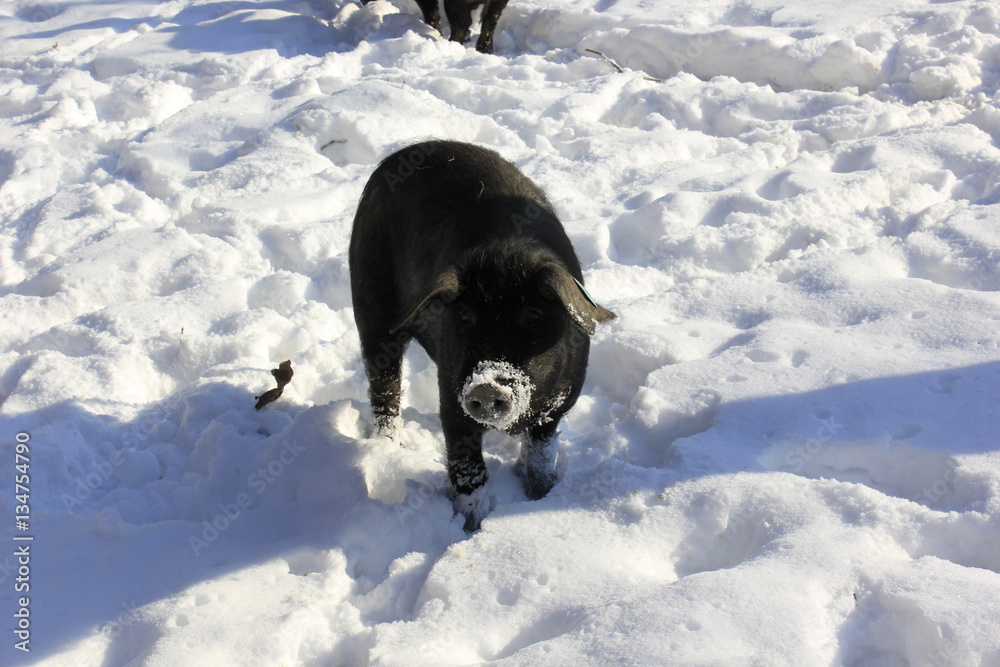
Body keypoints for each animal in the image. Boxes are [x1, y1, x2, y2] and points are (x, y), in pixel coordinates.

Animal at [349, 140, 615, 530]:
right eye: (465, 316)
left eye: (531, 315)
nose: (487, 386)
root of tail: (399, 155)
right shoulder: (451, 397)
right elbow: (468, 473)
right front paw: (472, 528)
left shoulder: (557, 408)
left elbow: (541, 456)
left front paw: (541, 496)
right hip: (369, 305)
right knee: (384, 386)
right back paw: (388, 446)